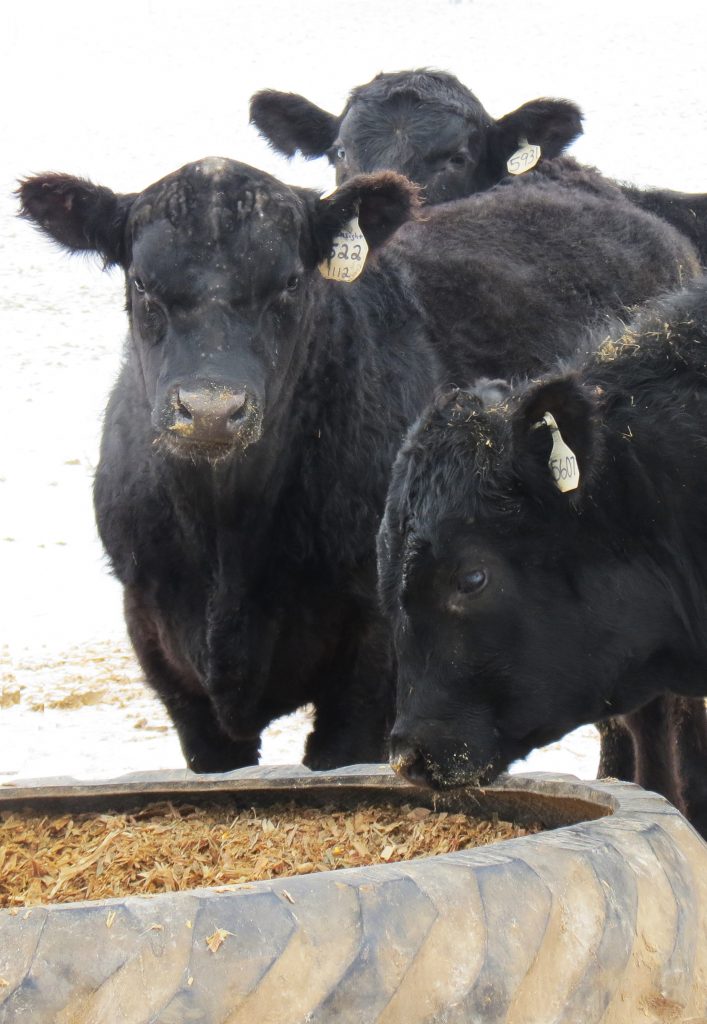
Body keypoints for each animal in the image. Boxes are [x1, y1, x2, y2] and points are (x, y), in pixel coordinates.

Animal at [18, 157, 698, 774]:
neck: (227, 549)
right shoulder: (167, 661)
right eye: (141, 284)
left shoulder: (371, 666)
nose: (210, 411)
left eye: (291, 282)